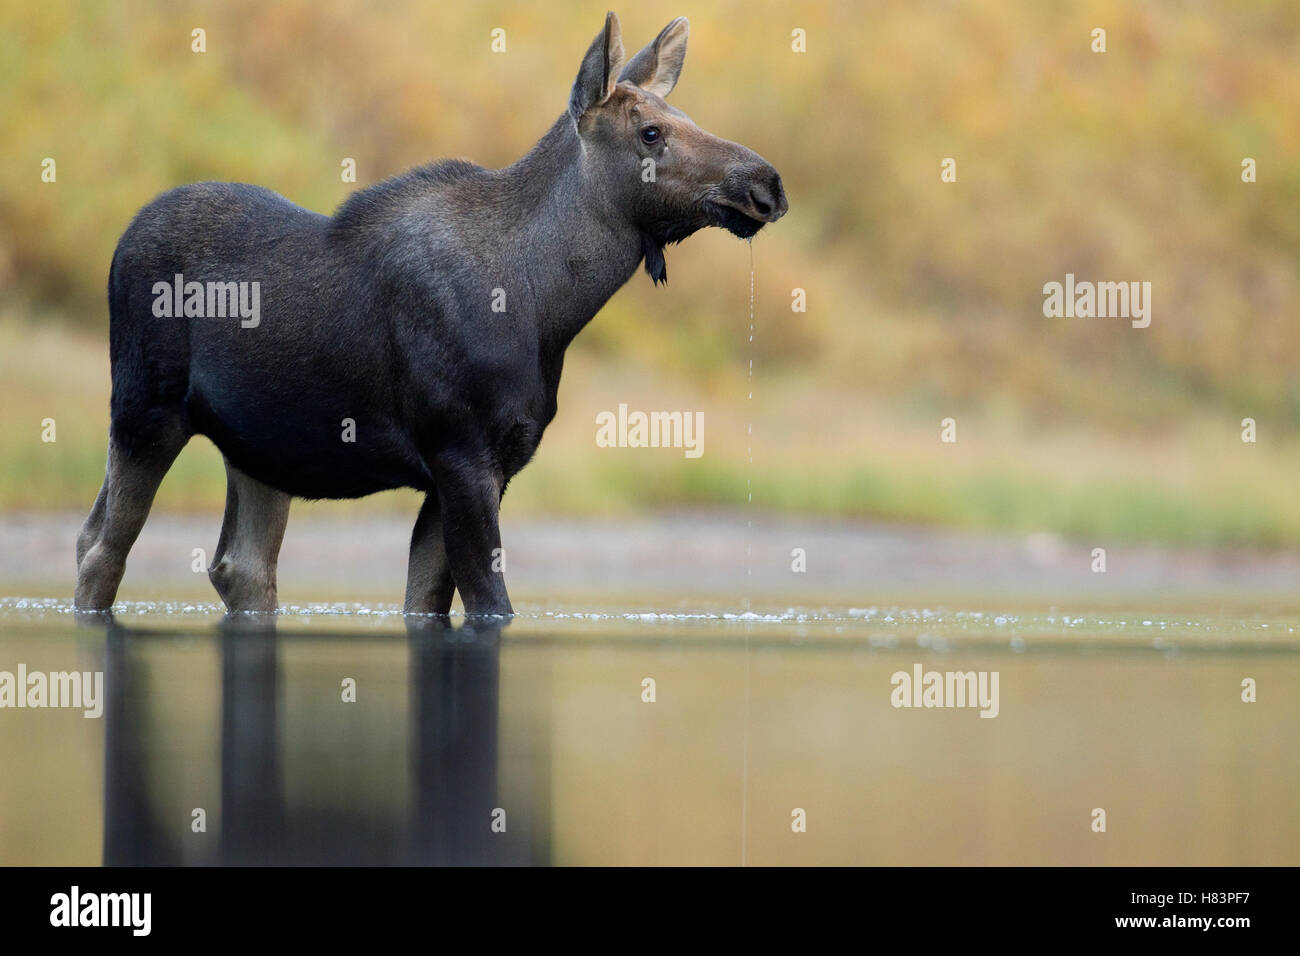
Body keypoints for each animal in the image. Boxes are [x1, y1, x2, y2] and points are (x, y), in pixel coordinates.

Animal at [74, 12, 787, 619]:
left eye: (682, 114)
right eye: (651, 132)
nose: (768, 183)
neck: (548, 308)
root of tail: (118, 246)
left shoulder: (487, 466)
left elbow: (427, 600)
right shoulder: (458, 449)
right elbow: (491, 602)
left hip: (256, 447)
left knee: (239, 566)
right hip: (143, 410)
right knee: (100, 548)